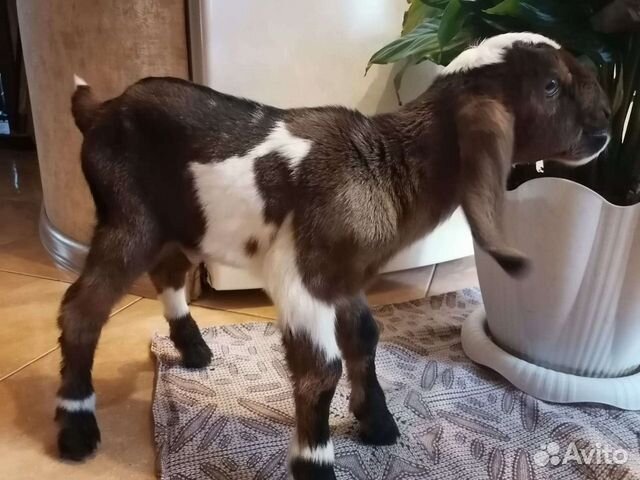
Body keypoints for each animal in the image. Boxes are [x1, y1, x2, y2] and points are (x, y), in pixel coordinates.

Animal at [56, 33, 610, 479]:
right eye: (551, 86)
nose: (605, 130)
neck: (386, 165)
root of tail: (99, 109)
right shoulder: (304, 280)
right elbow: (321, 370)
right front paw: (316, 465)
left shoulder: (345, 278)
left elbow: (365, 336)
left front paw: (378, 422)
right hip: (127, 216)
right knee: (83, 308)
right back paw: (76, 427)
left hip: (179, 224)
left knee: (166, 272)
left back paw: (194, 350)